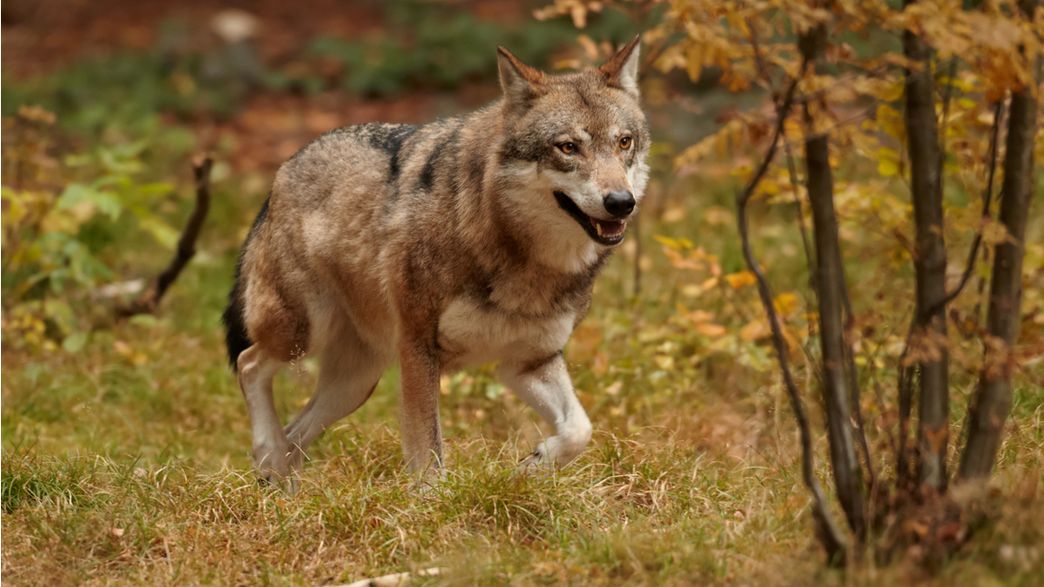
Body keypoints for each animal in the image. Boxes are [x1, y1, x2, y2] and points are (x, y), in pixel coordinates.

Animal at [222, 37, 649, 485]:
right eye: (568, 147)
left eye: (624, 142)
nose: (621, 202)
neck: (525, 260)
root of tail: (281, 172)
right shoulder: (419, 349)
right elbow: (428, 453)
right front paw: (436, 498)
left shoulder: (529, 361)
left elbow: (579, 430)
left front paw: (533, 465)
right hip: (303, 335)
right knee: (249, 364)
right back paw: (269, 455)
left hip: (356, 383)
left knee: (294, 434)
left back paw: (280, 483)